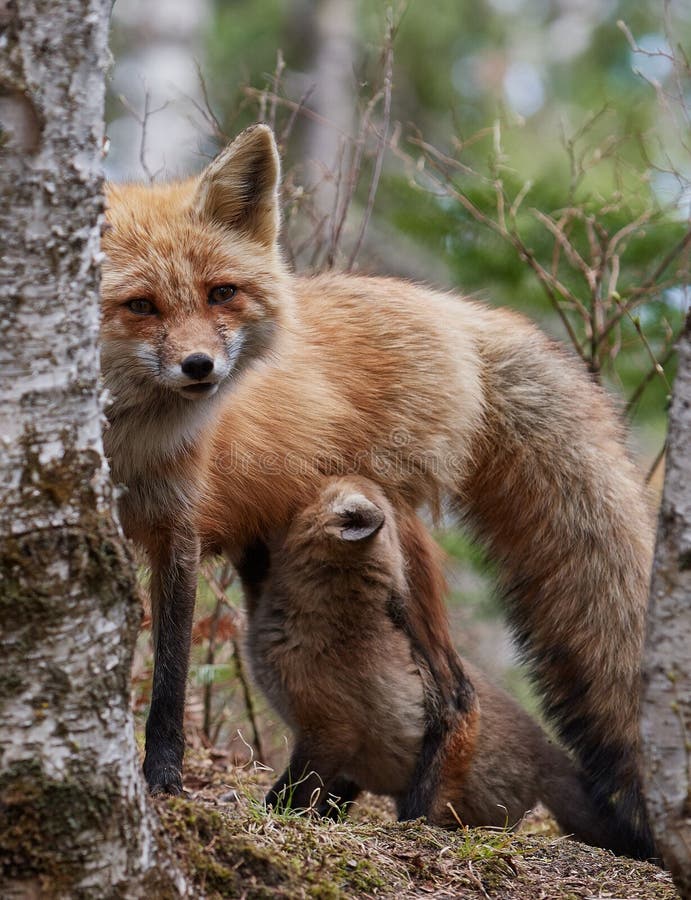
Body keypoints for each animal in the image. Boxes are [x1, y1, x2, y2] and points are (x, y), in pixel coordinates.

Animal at [239, 475, 612, 847]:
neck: (330, 620)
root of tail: (546, 750)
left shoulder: (330, 732)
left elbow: (292, 790)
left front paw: (272, 813)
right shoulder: (347, 762)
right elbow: (330, 799)